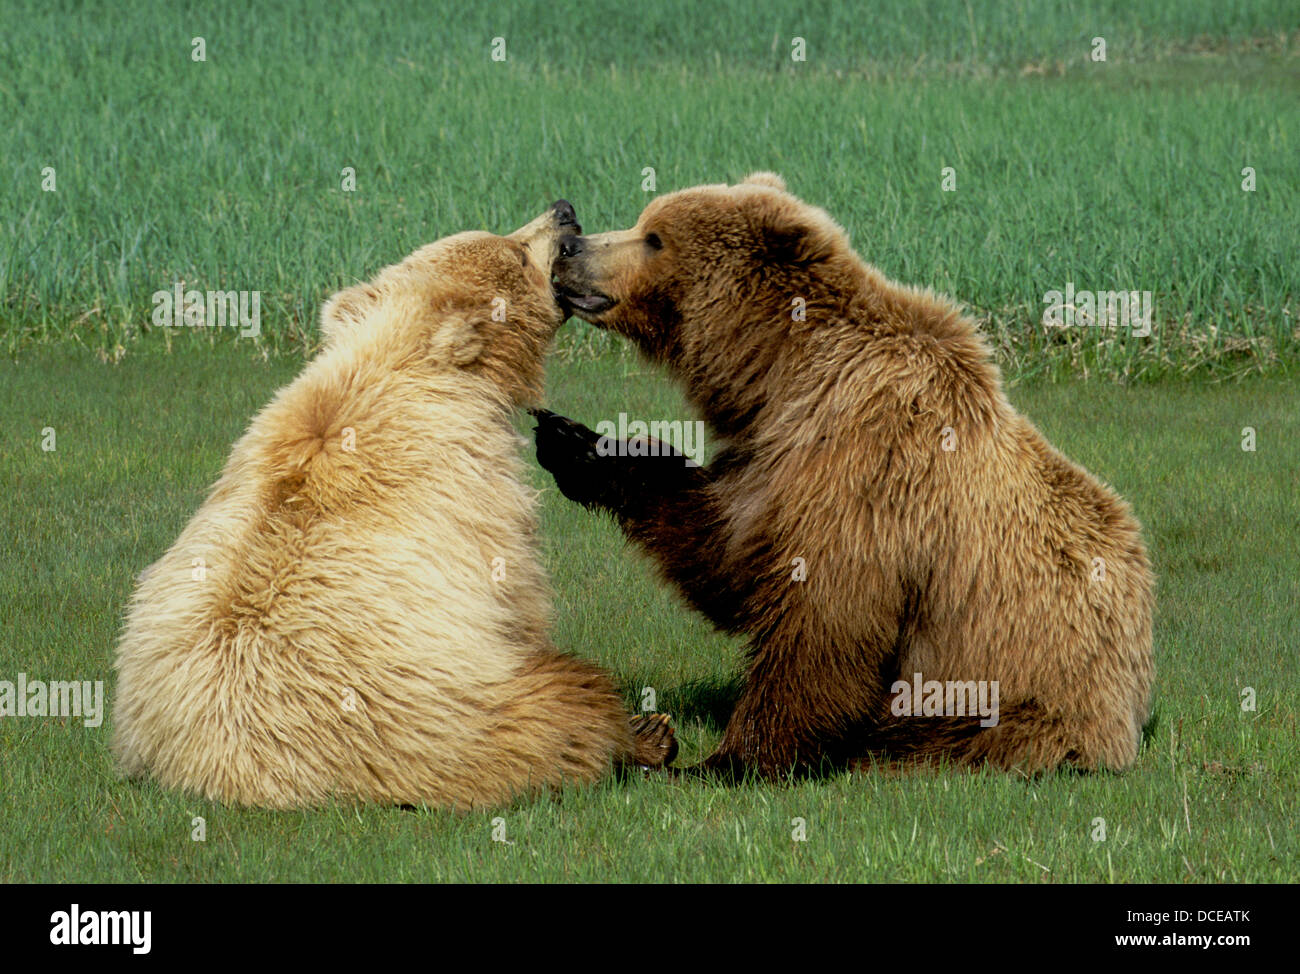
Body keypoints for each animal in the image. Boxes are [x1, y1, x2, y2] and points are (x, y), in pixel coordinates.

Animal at [111, 201, 676, 810]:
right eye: (518, 250)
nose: (563, 212)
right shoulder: (473, 486)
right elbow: (518, 597)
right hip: (449, 722)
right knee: (567, 705)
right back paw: (645, 734)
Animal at [535, 173, 1154, 780]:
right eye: (645, 223)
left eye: (654, 238)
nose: (569, 248)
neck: (782, 374)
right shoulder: (772, 457)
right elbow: (721, 546)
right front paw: (576, 442)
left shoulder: (866, 471)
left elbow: (822, 619)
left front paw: (728, 760)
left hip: (1005, 701)